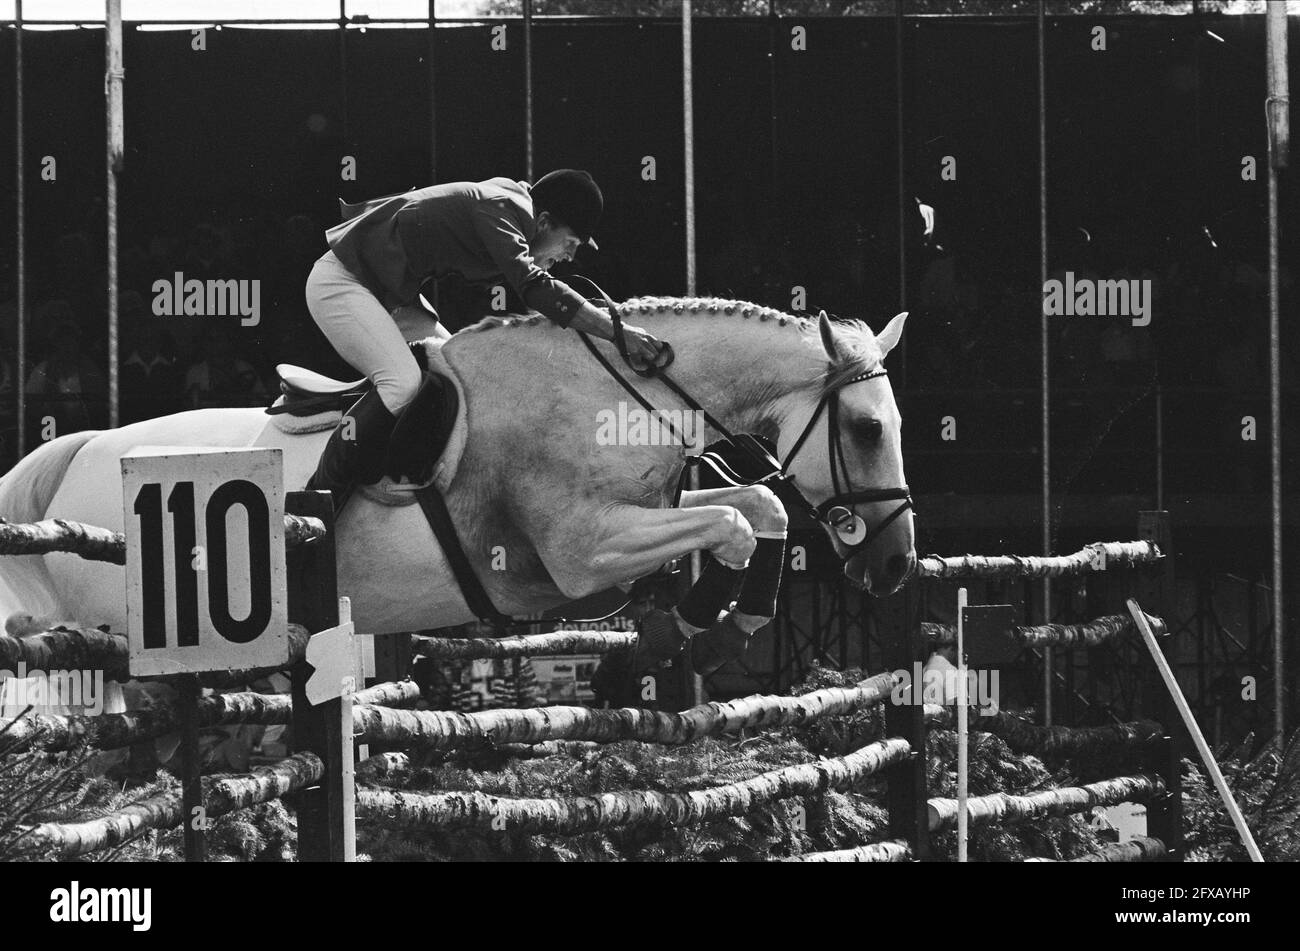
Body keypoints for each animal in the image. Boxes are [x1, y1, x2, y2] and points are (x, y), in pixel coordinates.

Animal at [0, 298, 914, 677]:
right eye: (868, 429)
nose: (897, 566)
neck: (615, 391)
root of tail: (82, 452)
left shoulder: (629, 524)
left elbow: (757, 506)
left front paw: (721, 625)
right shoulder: (579, 556)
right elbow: (732, 519)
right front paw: (684, 629)